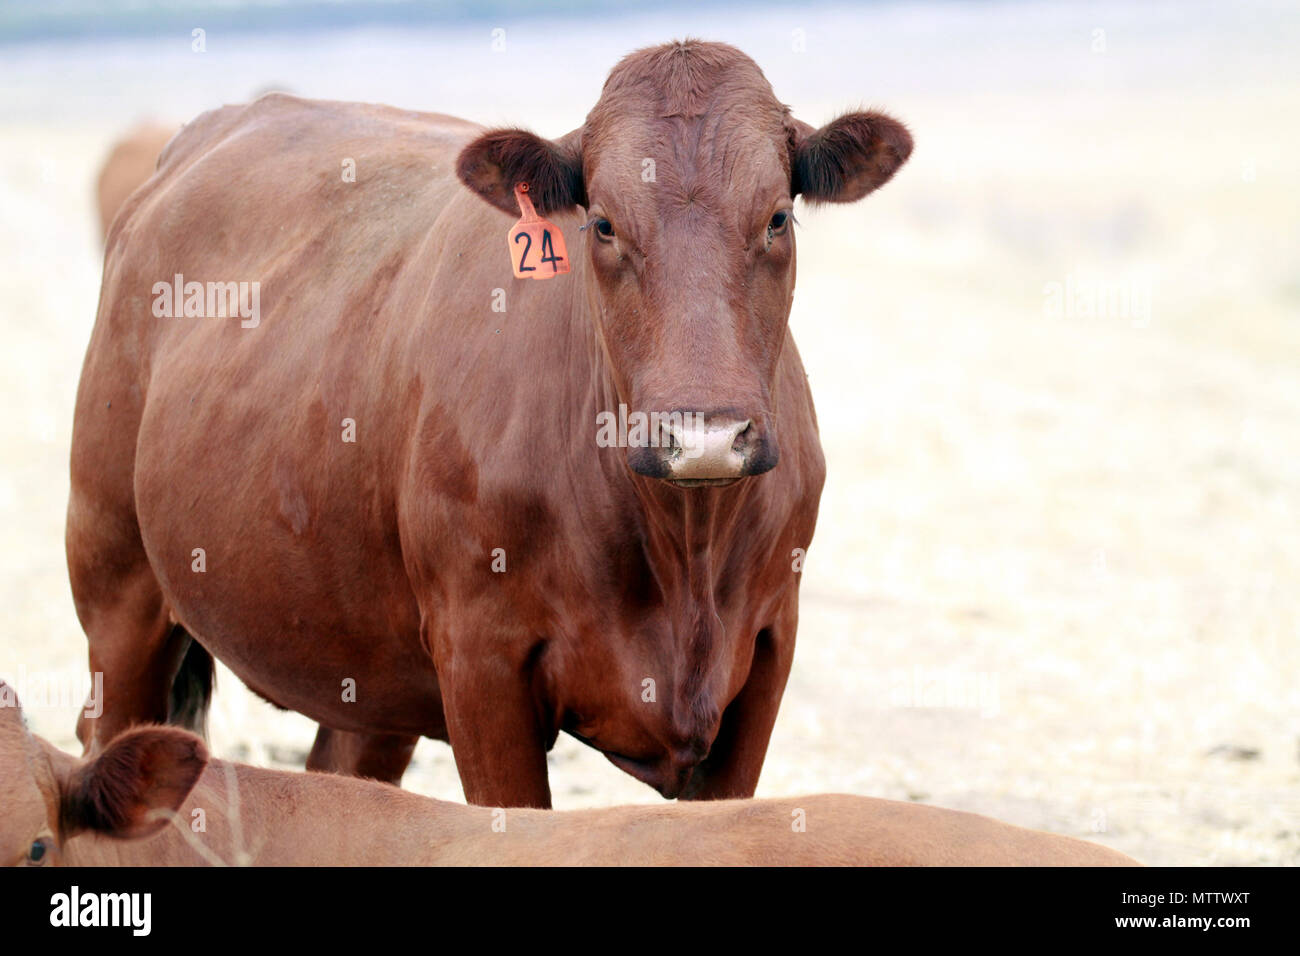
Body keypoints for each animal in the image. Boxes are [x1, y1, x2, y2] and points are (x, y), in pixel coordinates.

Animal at [68, 40, 913, 808]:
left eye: (777, 217)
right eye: (603, 225)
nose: (702, 437)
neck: (684, 548)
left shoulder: (766, 658)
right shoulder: (481, 663)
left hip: (367, 664)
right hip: (115, 576)